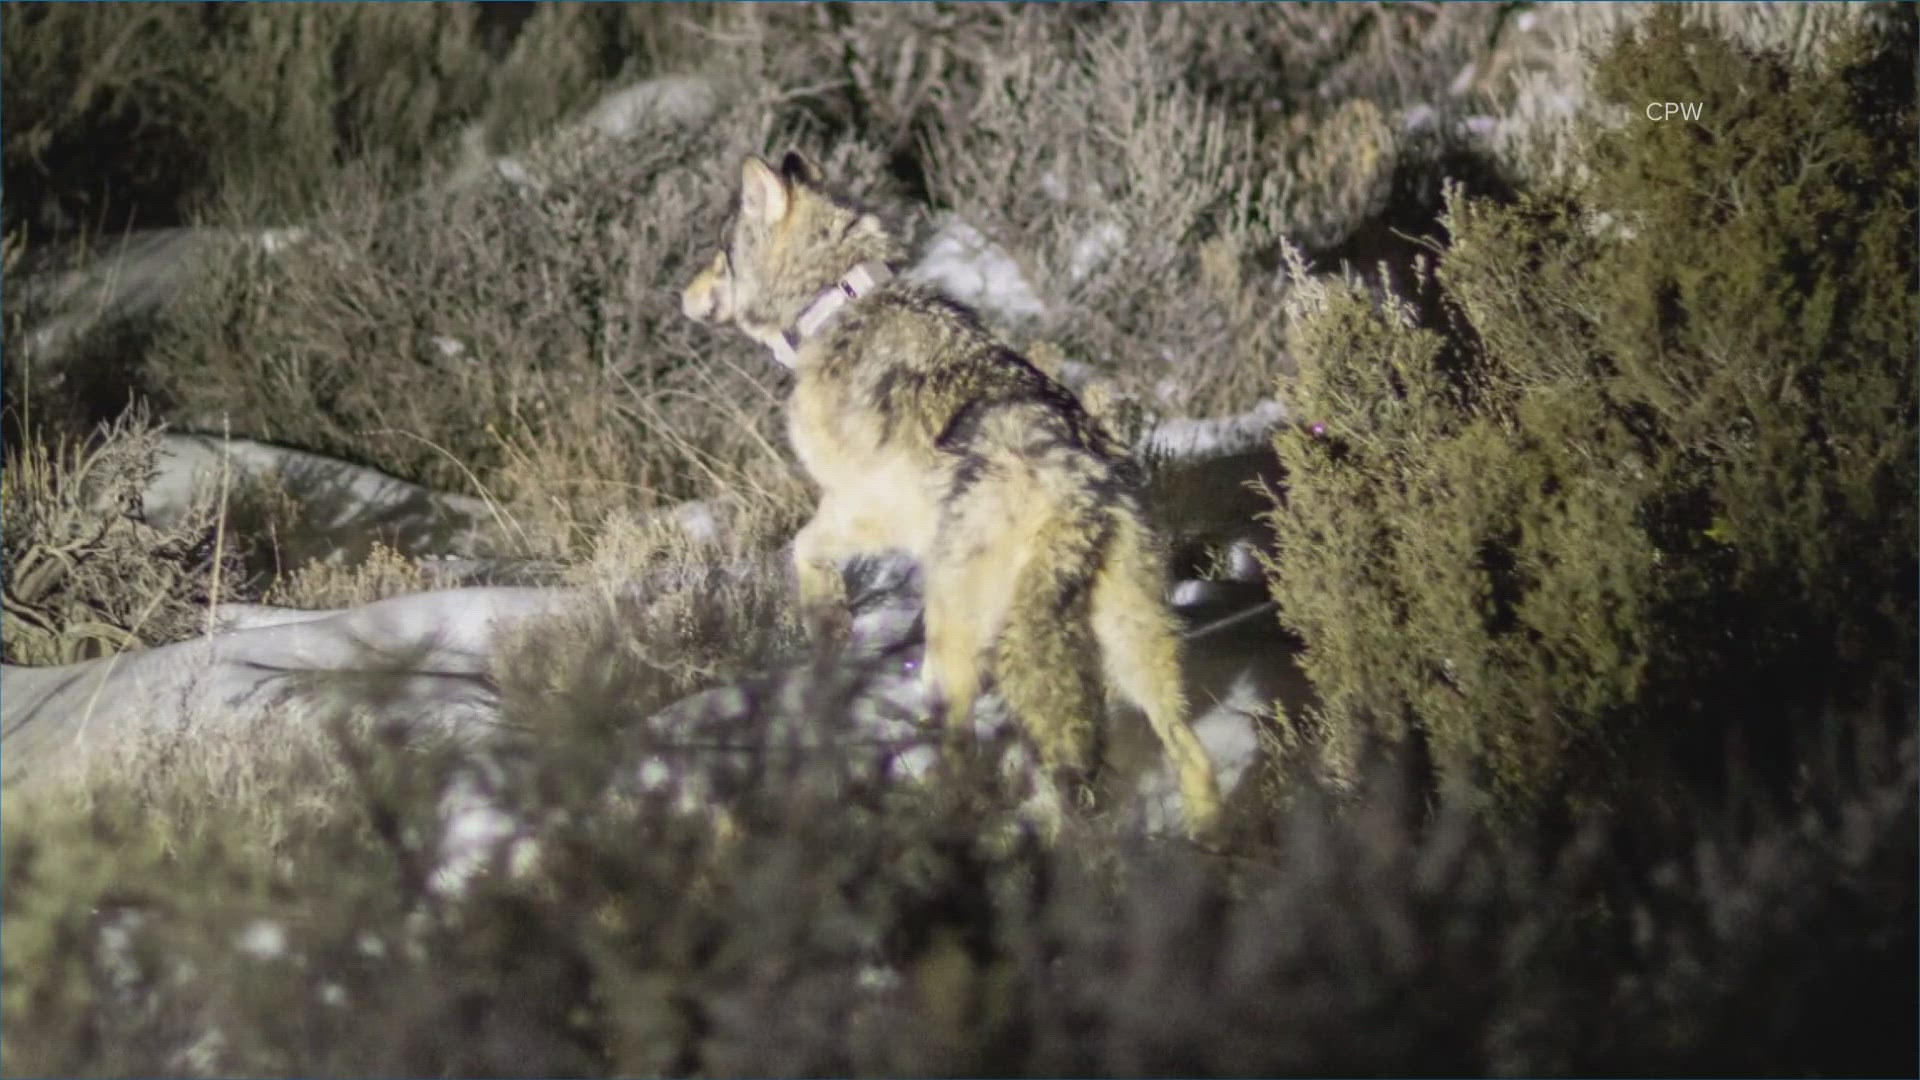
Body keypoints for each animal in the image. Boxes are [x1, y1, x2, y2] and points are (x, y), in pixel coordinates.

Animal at [681, 152, 1221, 839]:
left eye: (719, 257)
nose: (681, 294)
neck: (835, 301)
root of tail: (1073, 489)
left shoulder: (866, 508)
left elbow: (803, 547)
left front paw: (828, 619)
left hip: (964, 628)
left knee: (968, 746)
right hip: (1134, 645)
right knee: (1187, 750)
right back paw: (1203, 832)